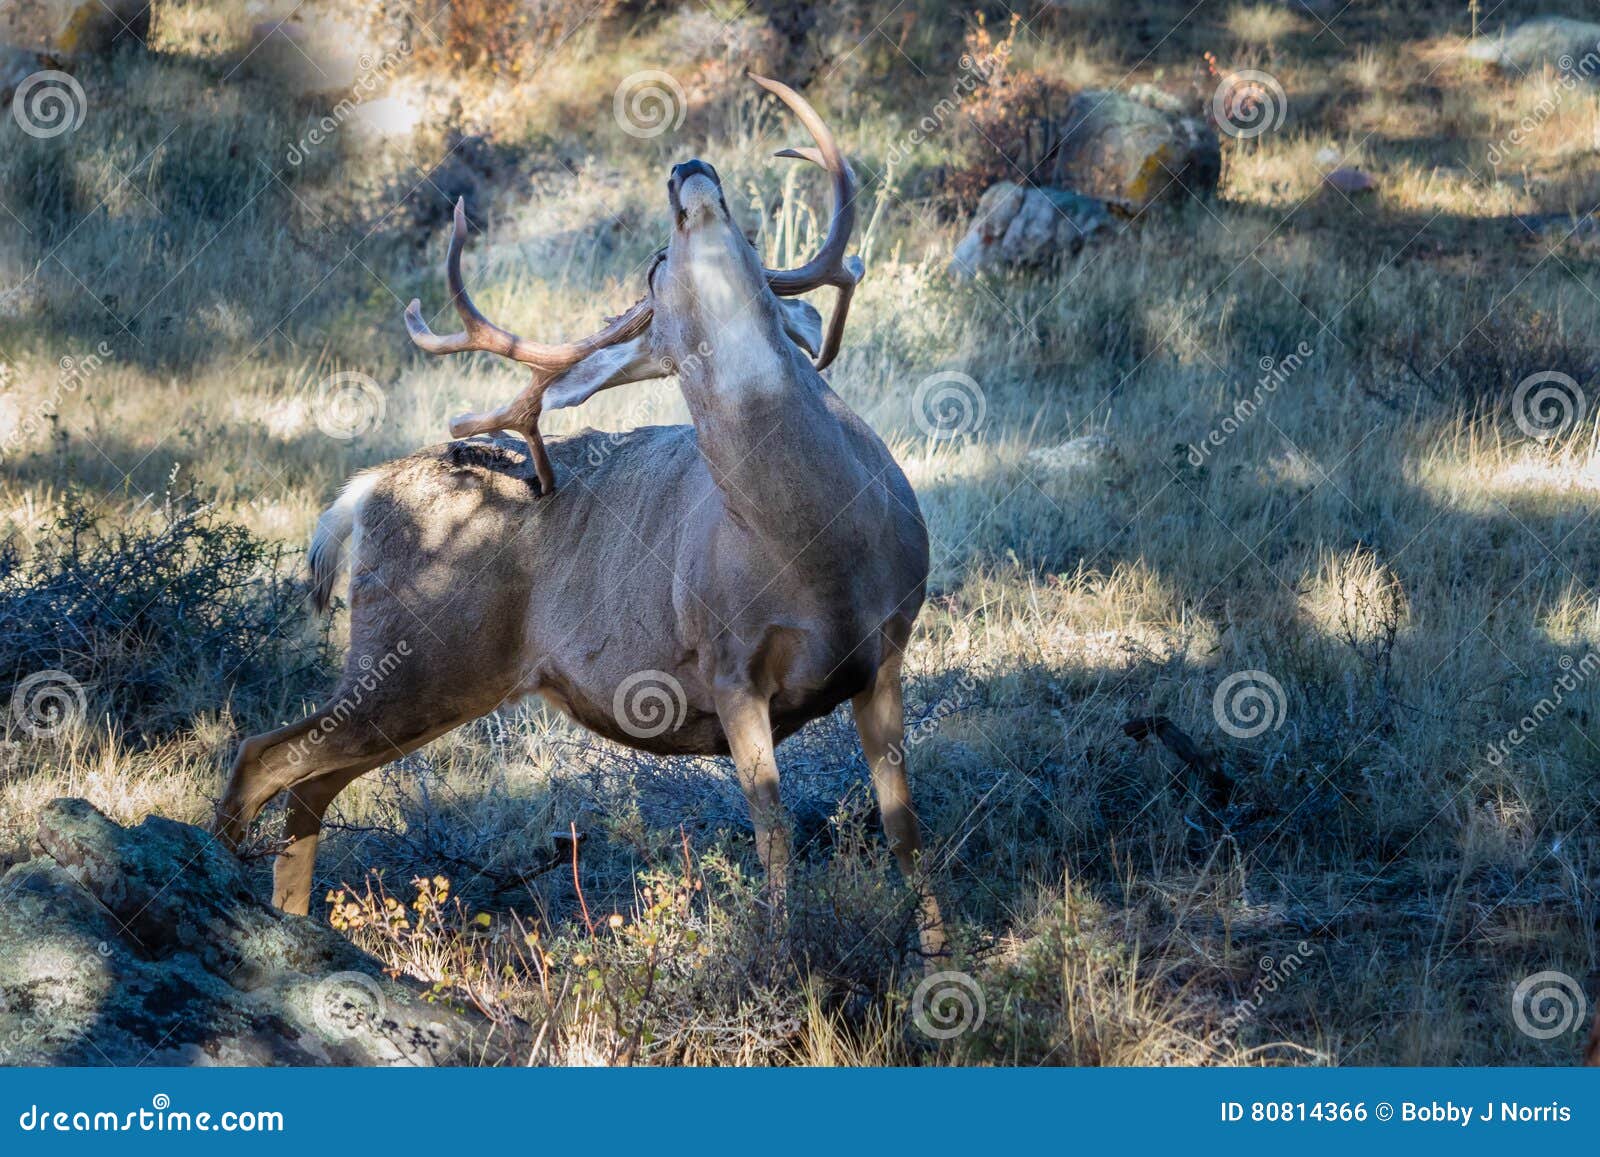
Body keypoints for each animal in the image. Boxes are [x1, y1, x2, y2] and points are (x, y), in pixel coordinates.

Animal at [213, 75, 946, 959]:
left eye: (740, 228)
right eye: (657, 265)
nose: (689, 169)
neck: (820, 551)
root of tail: (367, 491)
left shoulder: (887, 648)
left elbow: (905, 825)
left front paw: (940, 951)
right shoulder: (727, 661)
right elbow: (773, 832)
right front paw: (778, 956)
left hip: (429, 677)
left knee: (308, 785)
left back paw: (295, 925)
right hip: (411, 654)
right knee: (264, 754)